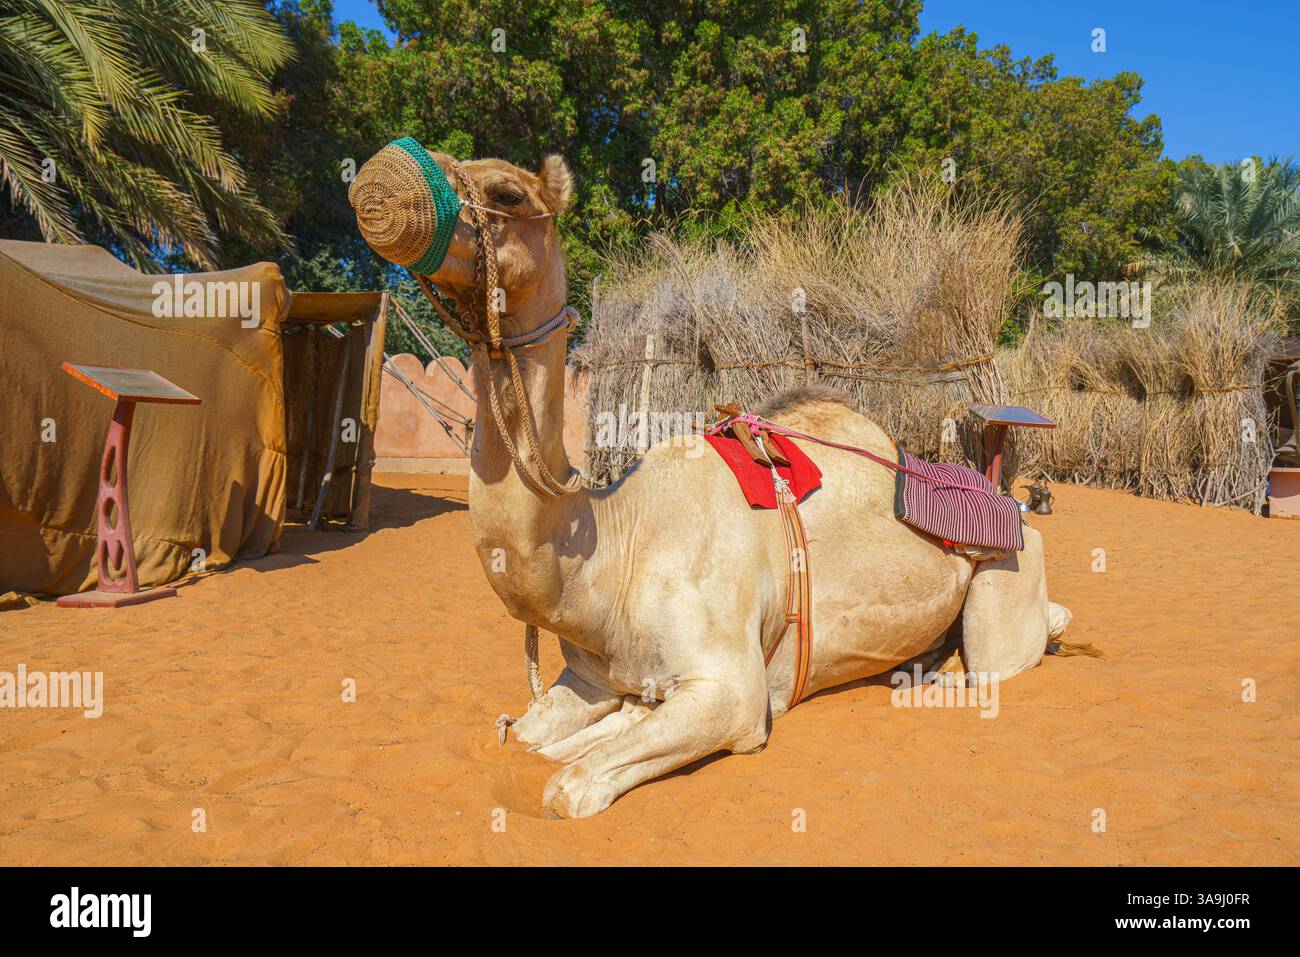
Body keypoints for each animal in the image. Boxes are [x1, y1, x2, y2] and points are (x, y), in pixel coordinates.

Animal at [349, 145, 1073, 819]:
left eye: (506, 191)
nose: (383, 176)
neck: (614, 546)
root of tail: (1015, 506)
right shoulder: (589, 675)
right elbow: (519, 737)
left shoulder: (732, 690)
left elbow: (568, 787)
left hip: (1008, 574)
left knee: (998, 658)